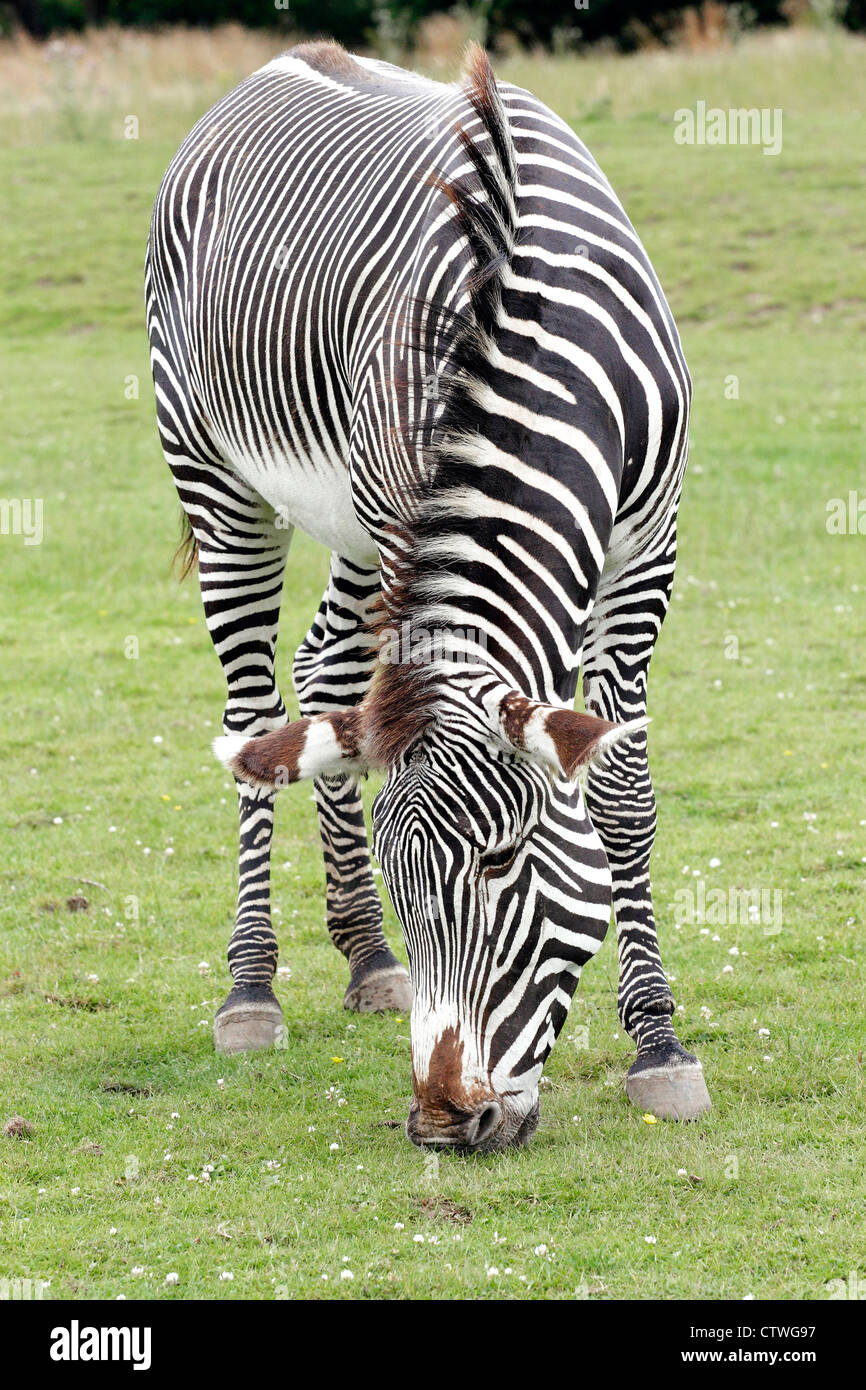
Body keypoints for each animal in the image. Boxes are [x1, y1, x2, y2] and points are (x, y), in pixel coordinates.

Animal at [146, 39, 711, 1152]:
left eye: (501, 863)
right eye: (412, 879)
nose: (447, 1123)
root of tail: (273, 64)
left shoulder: (645, 552)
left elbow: (622, 795)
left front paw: (659, 1046)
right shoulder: (414, 522)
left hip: (352, 529)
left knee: (325, 675)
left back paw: (365, 958)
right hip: (221, 479)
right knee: (254, 712)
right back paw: (251, 987)